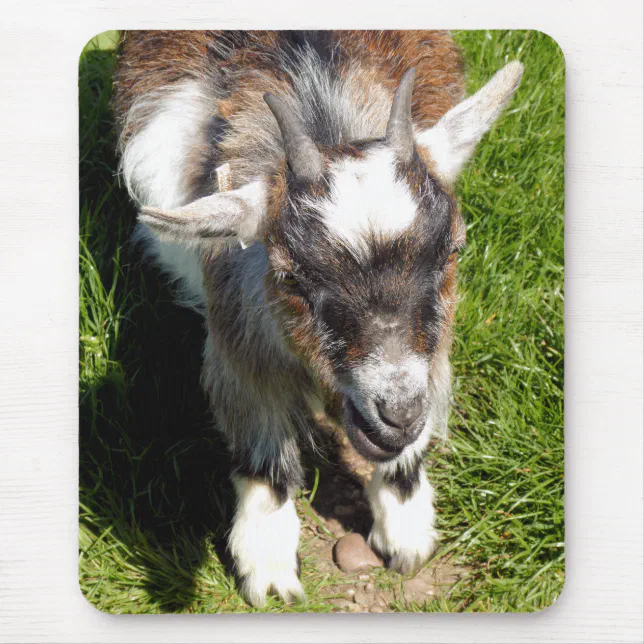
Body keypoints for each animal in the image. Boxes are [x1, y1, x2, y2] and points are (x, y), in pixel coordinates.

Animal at [113, 30, 523, 607]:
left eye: (453, 251)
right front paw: (267, 569)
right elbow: (263, 451)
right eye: (290, 277)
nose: (398, 414)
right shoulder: (240, 328)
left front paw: (407, 531)